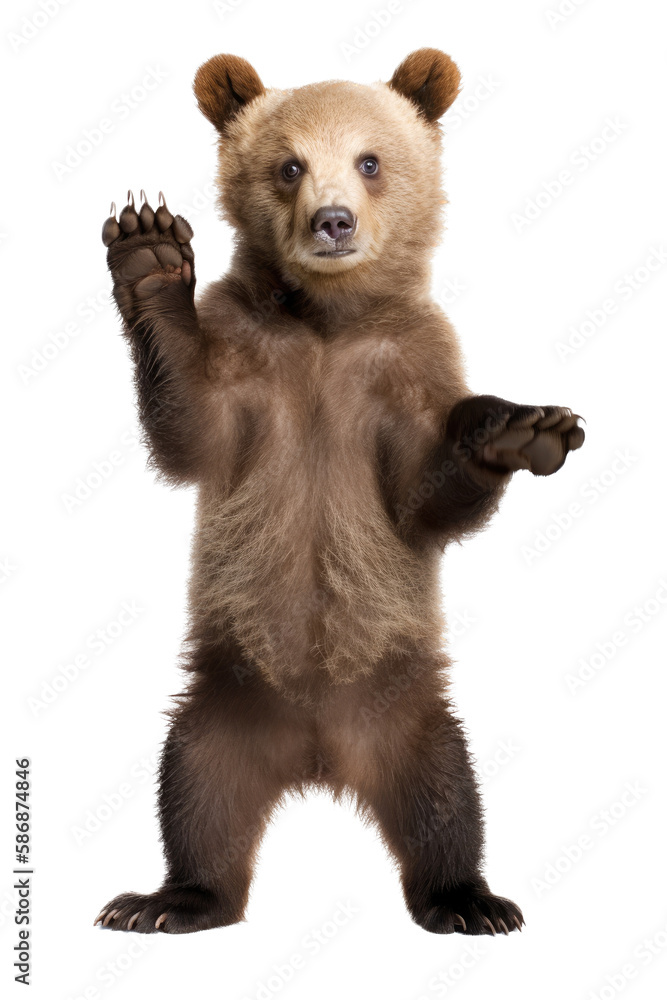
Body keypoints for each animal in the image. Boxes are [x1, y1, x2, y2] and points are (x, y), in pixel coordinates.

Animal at [94, 48, 584, 936]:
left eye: (370, 161)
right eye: (288, 165)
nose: (332, 222)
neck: (326, 324)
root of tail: (319, 757)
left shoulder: (406, 364)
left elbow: (421, 500)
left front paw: (516, 428)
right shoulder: (249, 361)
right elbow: (191, 427)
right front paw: (148, 254)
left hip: (409, 712)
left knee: (447, 797)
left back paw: (468, 898)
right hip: (223, 700)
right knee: (194, 791)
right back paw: (171, 899)